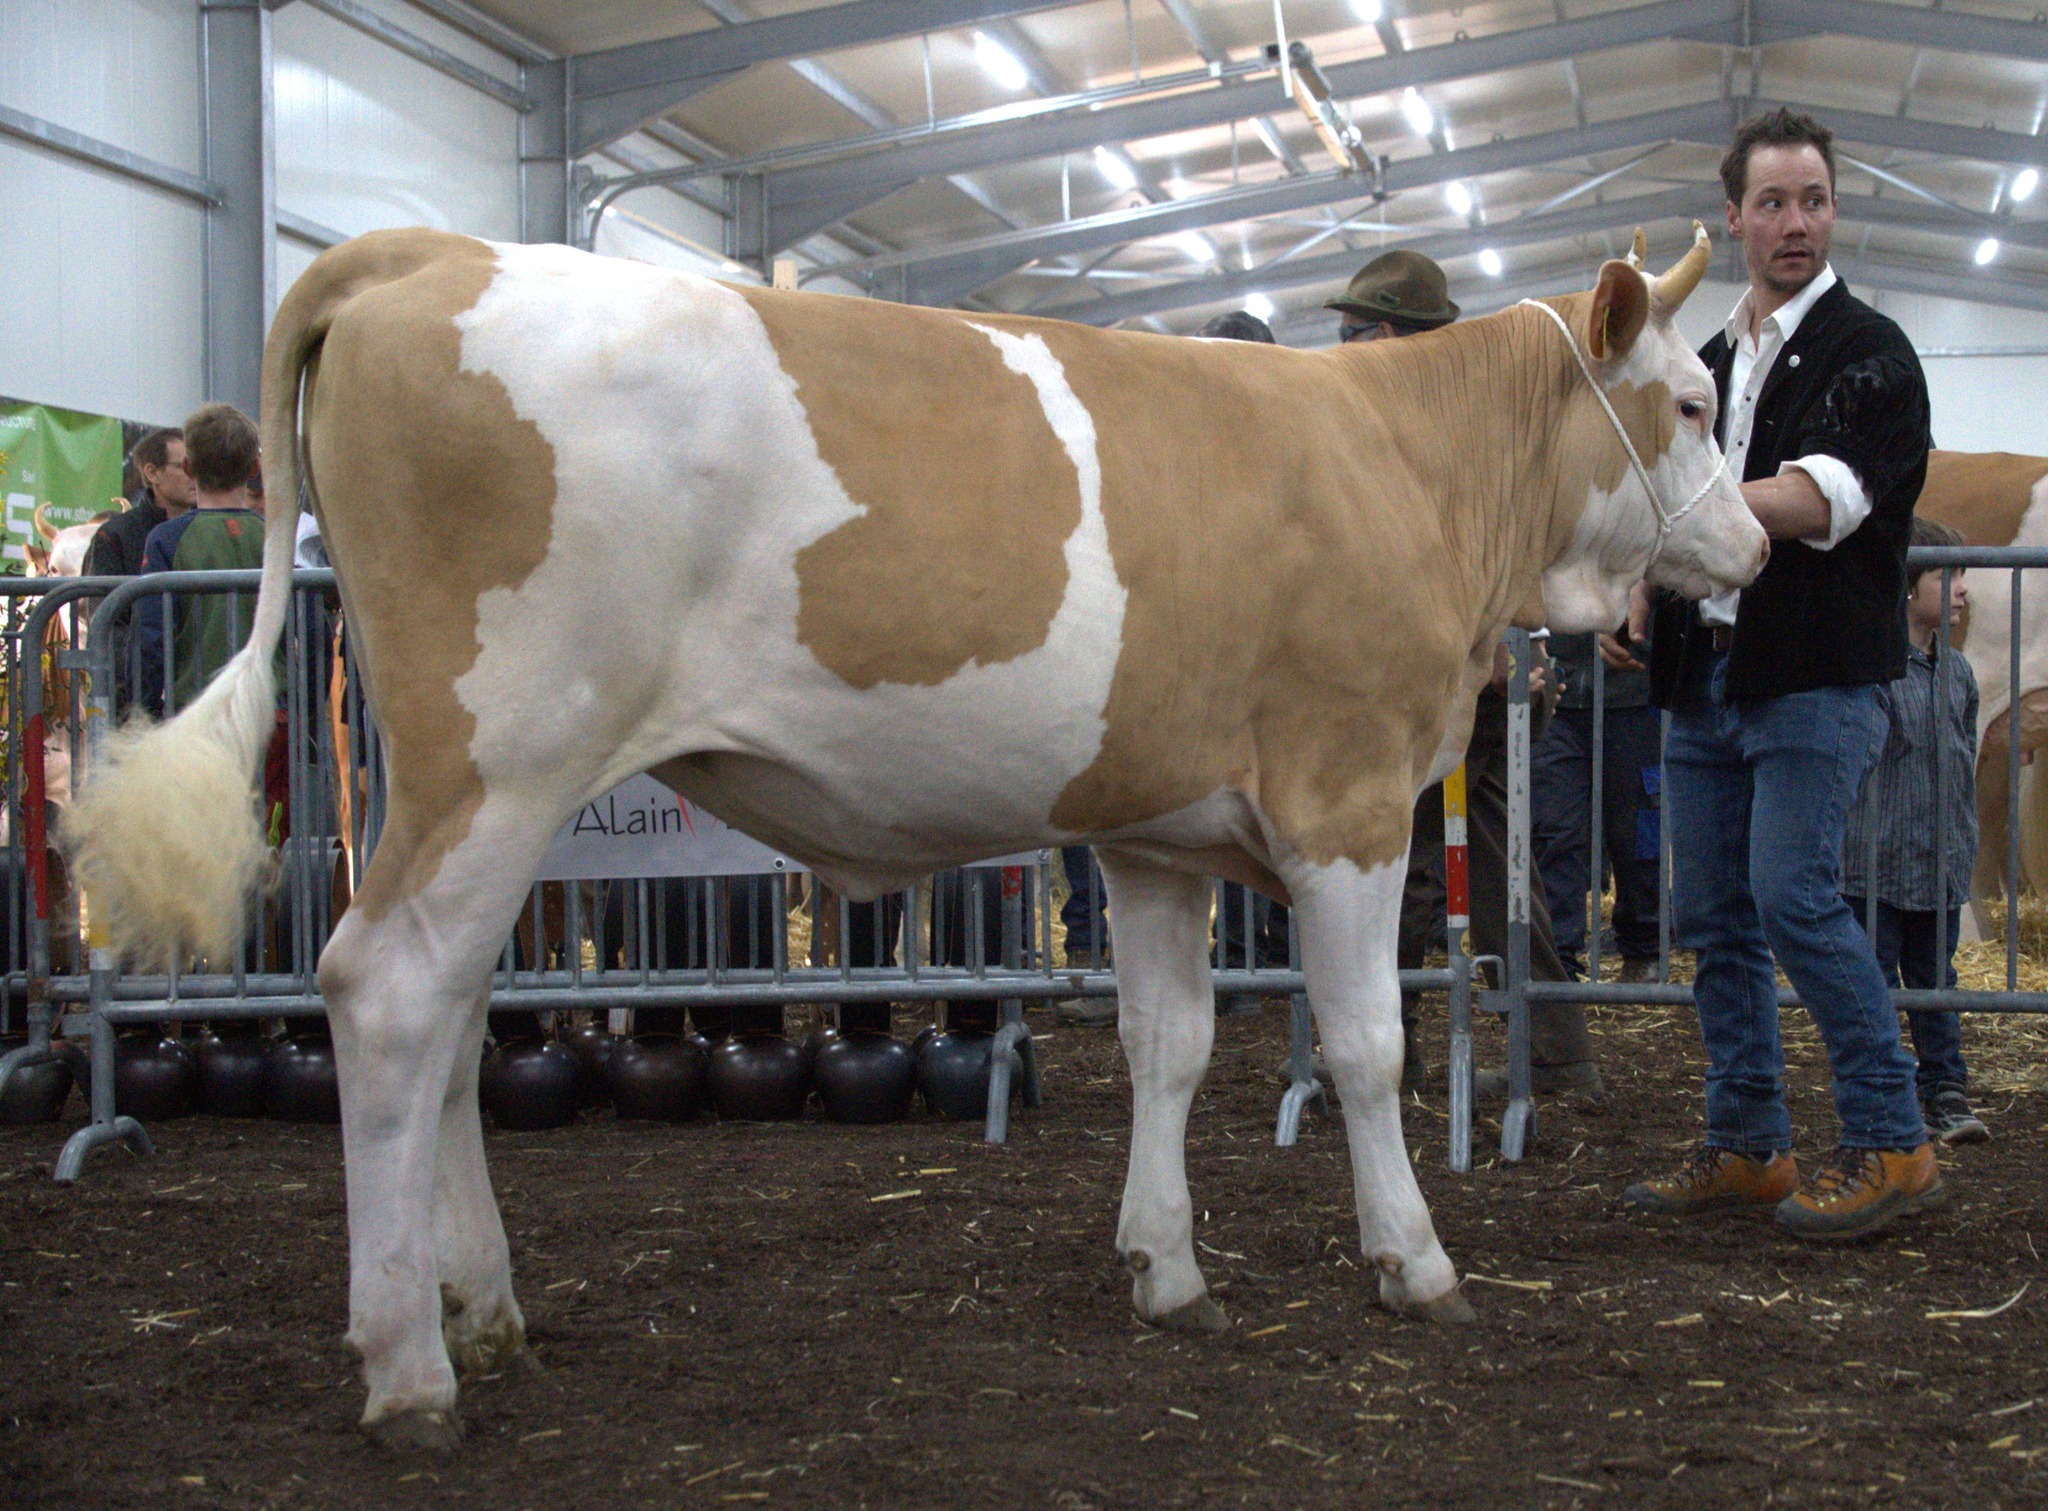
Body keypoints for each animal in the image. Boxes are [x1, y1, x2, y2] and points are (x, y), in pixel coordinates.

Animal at [63, 224, 1766, 1447]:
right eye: (1692, 402)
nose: (1759, 539)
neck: (1407, 461)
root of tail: (425, 250)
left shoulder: (1149, 829)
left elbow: (1170, 1044)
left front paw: (1169, 1270)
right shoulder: (1349, 795)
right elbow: (1362, 1045)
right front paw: (1415, 1261)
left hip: (475, 787)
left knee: (456, 1012)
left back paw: (484, 1305)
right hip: (501, 754)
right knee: (388, 994)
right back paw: (411, 1365)